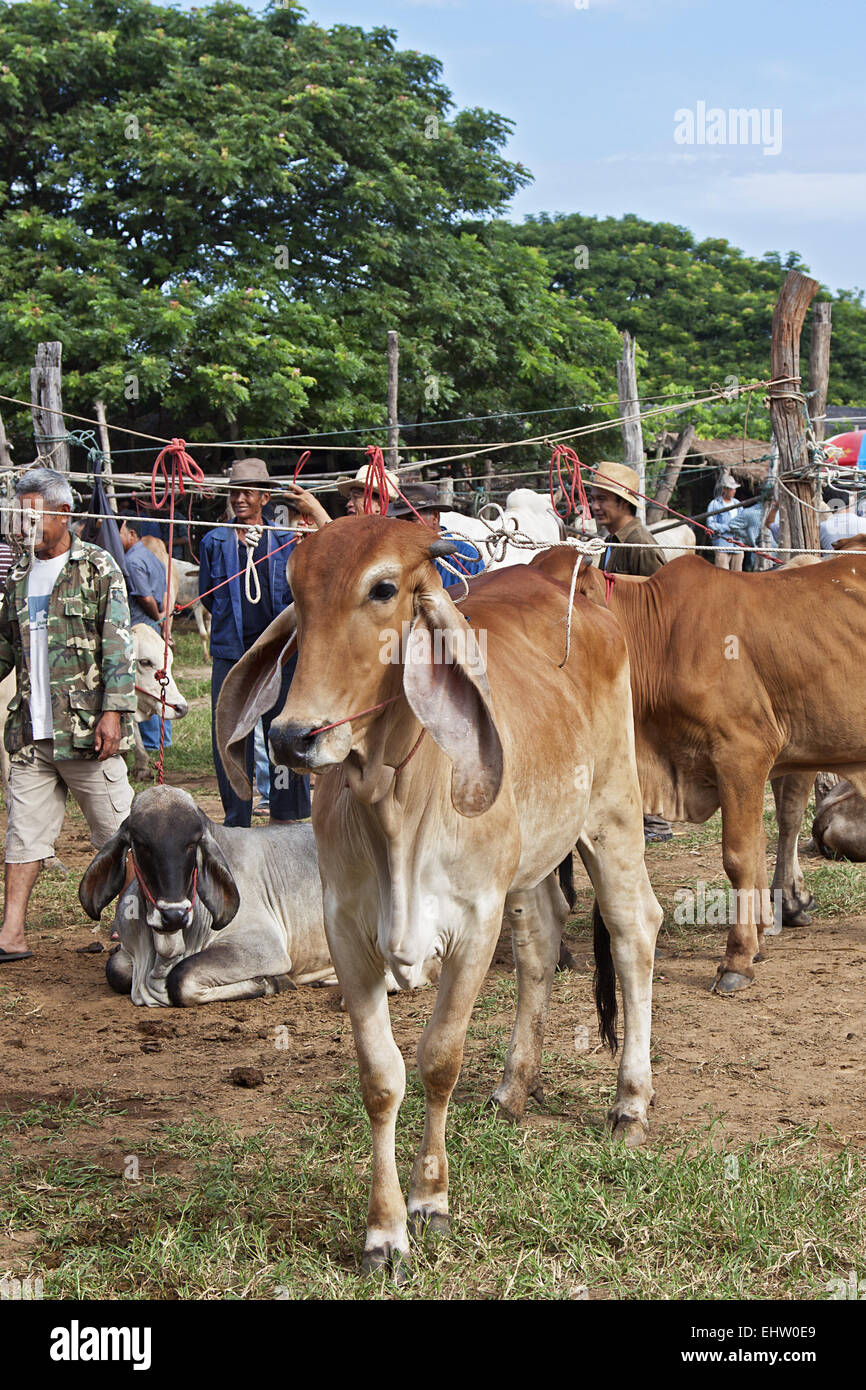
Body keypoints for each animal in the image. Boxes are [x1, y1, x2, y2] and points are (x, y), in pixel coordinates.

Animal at [78, 784, 337, 1006]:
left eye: (193, 844)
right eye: (142, 844)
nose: (174, 915)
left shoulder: (265, 947)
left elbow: (181, 978)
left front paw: (272, 981)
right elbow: (115, 969)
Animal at [215, 514, 661, 1277]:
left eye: (383, 589)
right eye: (294, 590)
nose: (294, 736)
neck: (395, 801)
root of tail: (561, 567)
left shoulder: (475, 924)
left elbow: (439, 1060)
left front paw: (431, 1200)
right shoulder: (348, 934)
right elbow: (382, 1077)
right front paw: (385, 1232)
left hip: (613, 814)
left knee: (635, 932)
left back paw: (629, 1105)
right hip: (531, 866)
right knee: (542, 943)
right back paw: (514, 1088)